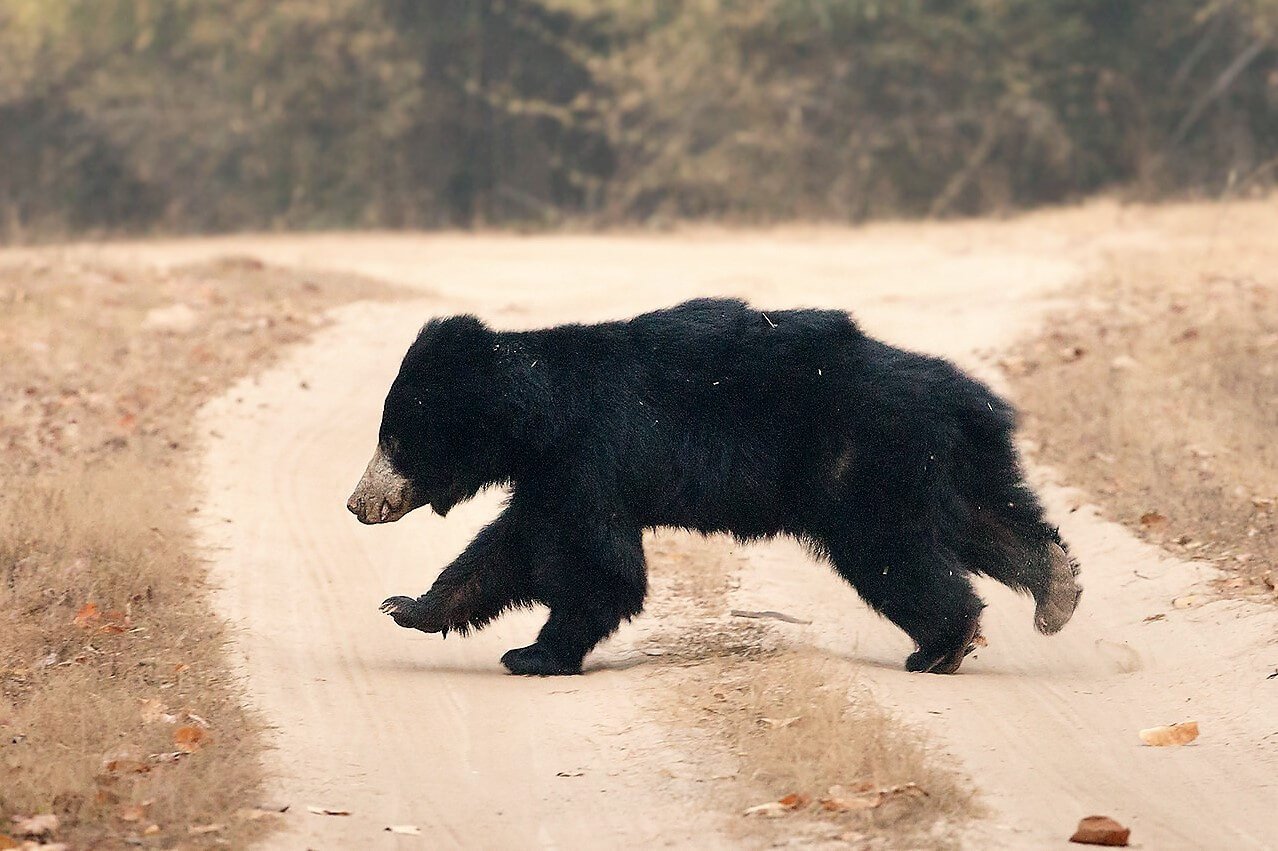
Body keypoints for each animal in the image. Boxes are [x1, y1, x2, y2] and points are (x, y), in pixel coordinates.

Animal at [347, 298, 1081, 676]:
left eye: (395, 441)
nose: (357, 505)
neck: (535, 414)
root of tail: (962, 395)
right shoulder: (552, 473)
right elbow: (510, 545)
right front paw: (407, 606)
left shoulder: (592, 456)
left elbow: (598, 566)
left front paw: (533, 652)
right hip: (941, 461)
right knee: (987, 520)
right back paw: (1057, 588)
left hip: (857, 462)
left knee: (891, 553)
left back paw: (939, 647)